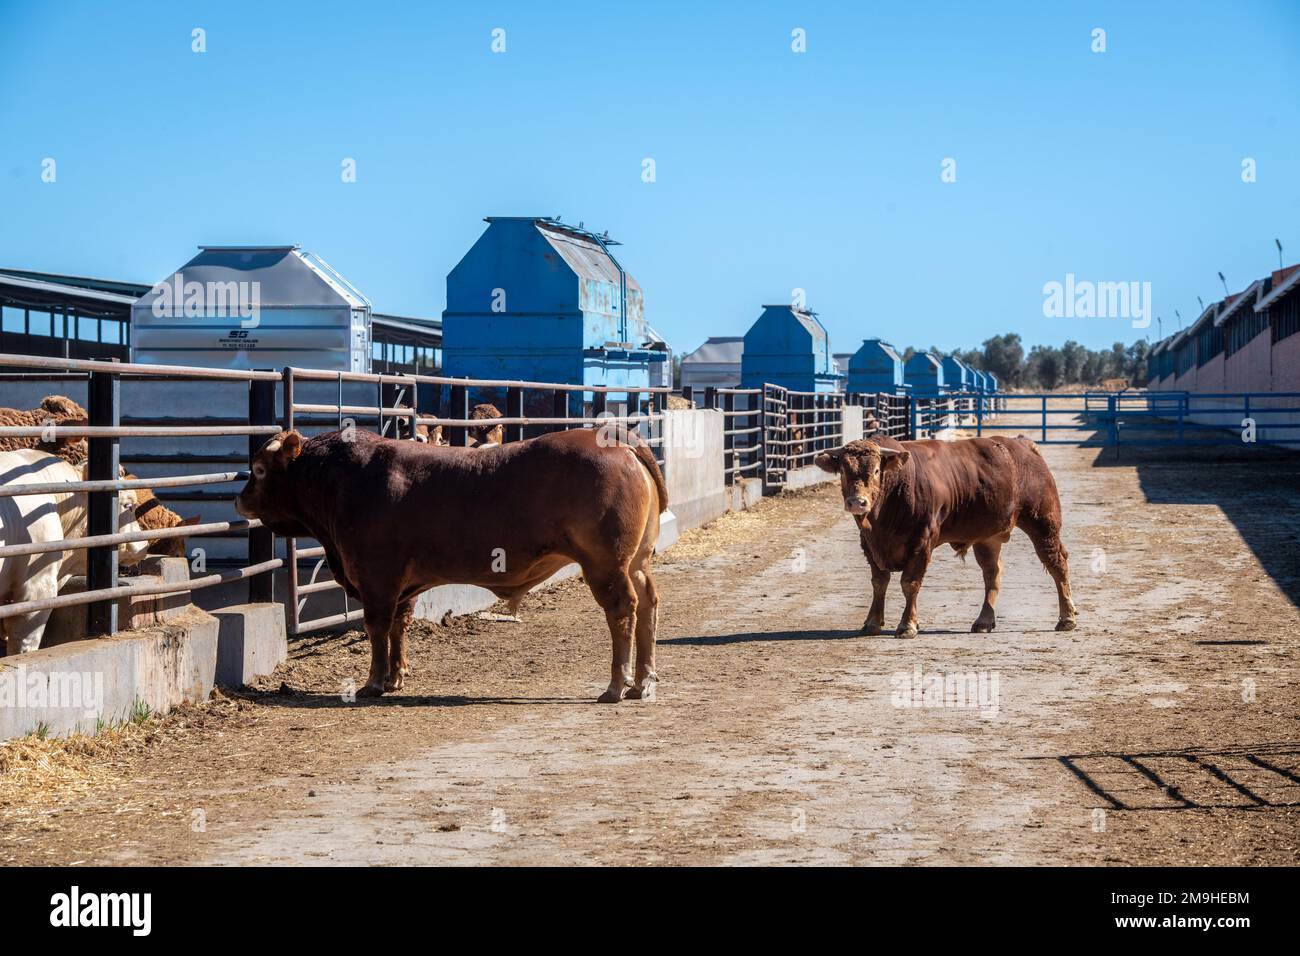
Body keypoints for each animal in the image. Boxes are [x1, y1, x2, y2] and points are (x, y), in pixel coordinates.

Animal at [234, 426, 667, 702]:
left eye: (259, 469)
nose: (239, 500)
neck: (342, 481)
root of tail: (618, 441)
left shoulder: (376, 578)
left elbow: (377, 628)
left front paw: (374, 681)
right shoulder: (404, 585)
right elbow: (399, 626)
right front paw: (397, 675)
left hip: (606, 564)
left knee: (623, 610)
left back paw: (617, 684)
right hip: (636, 562)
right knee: (648, 603)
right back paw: (643, 681)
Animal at [814, 435, 1077, 638]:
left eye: (877, 470)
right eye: (843, 471)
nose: (857, 502)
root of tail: (1022, 444)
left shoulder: (922, 542)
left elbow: (910, 583)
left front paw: (908, 625)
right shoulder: (870, 545)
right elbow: (879, 583)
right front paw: (872, 622)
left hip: (1044, 524)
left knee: (1057, 565)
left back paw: (1066, 617)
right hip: (987, 537)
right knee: (993, 573)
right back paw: (984, 620)